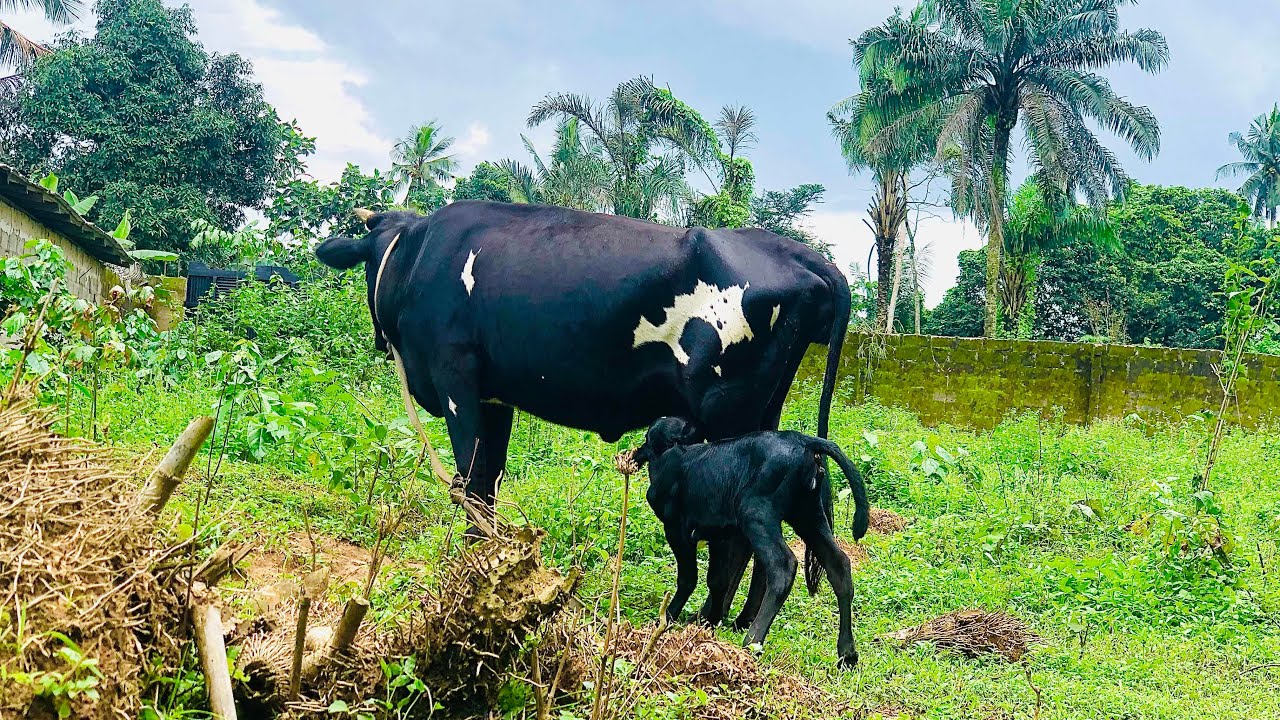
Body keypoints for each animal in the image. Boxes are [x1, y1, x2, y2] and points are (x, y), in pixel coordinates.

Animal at [314, 200, 851, 541]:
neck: (417, 254)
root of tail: (796, 252)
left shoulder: (456, 382)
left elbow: (468, 479)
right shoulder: (494, 396)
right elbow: (490, 479)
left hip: (728, 419)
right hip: (764, 413)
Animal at [630, 417, 869, 667]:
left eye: (648, 437)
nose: (637, 453)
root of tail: (803, 440)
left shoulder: (676, 529)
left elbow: (688, 578)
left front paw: (667, 618)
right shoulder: (720, 535)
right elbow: (718, 580)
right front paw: (708, 623)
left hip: (756, 513)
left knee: (783, 566)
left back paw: (751, 643)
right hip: (808, 515)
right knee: (839, 564)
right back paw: (847, 653)